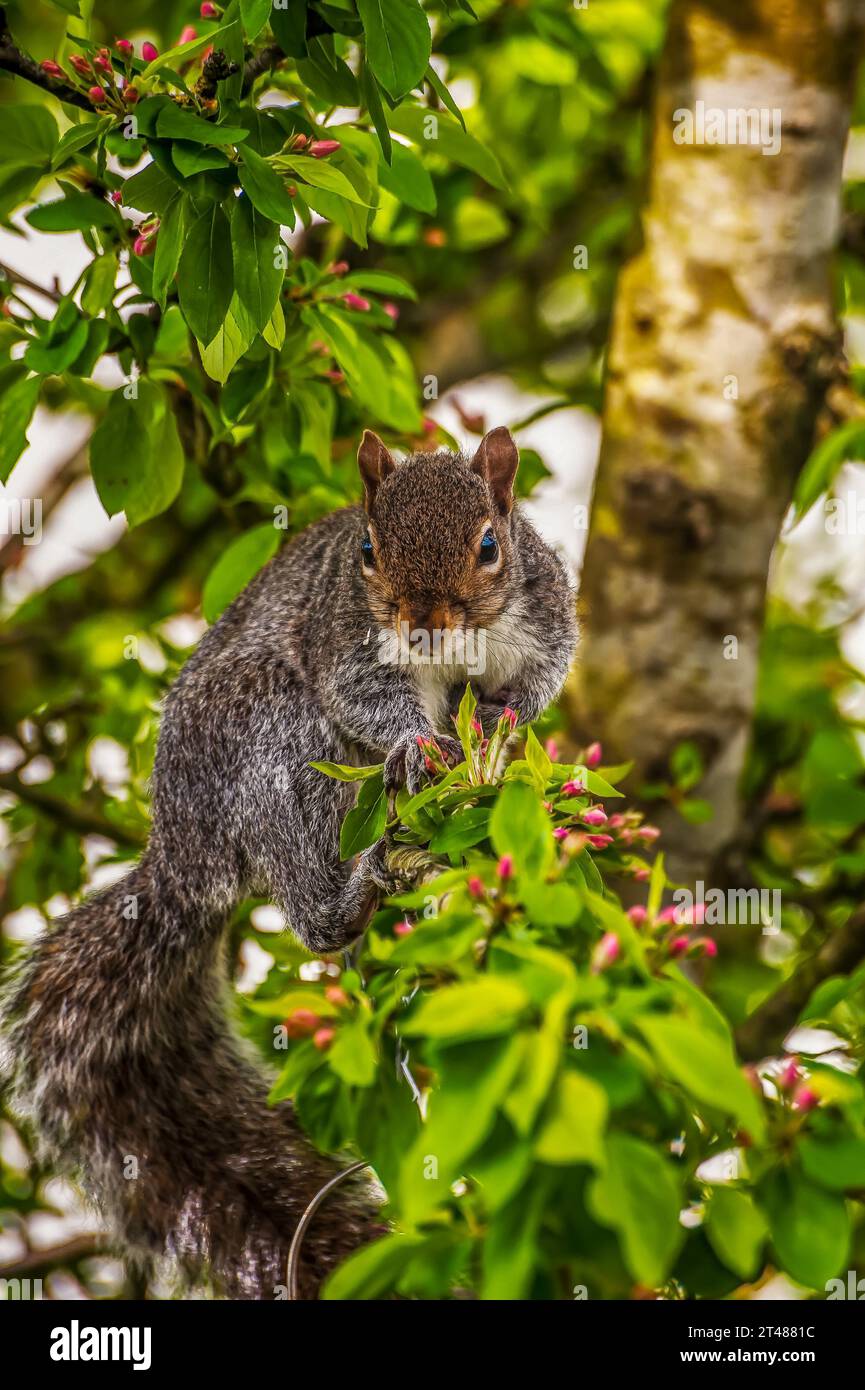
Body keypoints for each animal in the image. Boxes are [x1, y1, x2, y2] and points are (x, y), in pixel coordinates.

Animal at [0, 426, 577, 1299]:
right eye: (367, 551)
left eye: (489, 546)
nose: (423, 623)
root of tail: (180, 856)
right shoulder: (341, 639)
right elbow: (367, 696)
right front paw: (414, 744)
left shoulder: (544, 611)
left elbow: (540, 678)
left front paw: (502, 720)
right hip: (270, 730)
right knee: (311, 898)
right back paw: (352, 894)